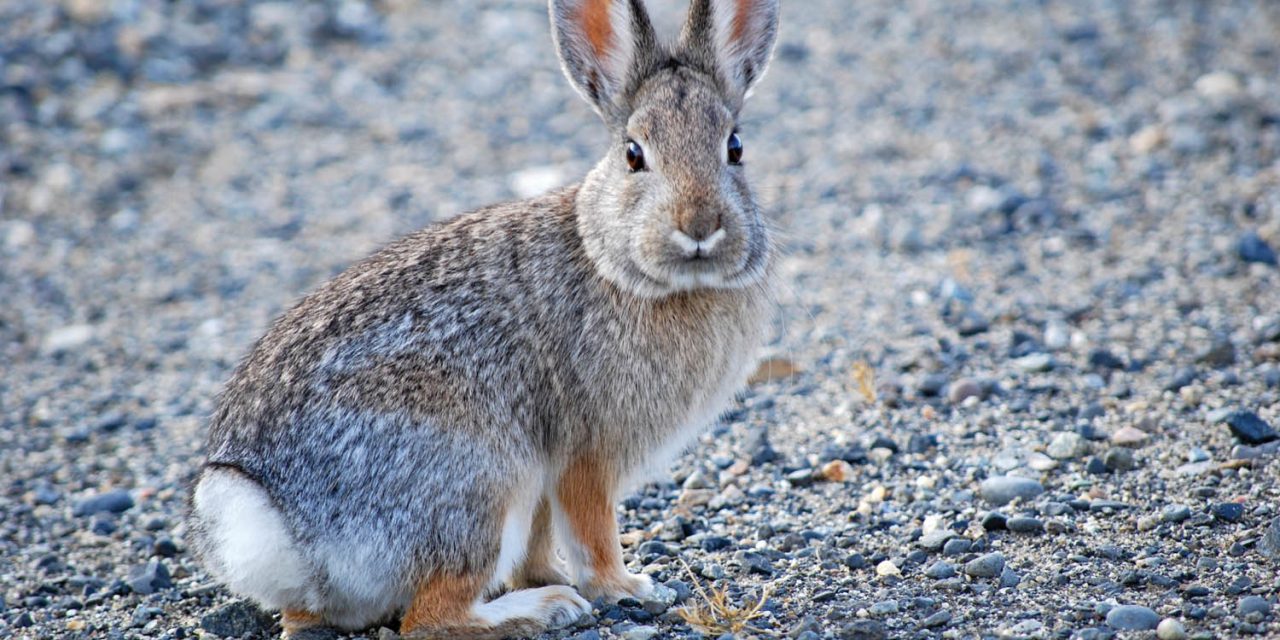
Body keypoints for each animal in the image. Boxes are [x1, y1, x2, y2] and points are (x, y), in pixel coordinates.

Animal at [187, 0, 781, 637]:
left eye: (735, 147)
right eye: (633, 155)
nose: (699, 226)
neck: (619, 263)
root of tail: (282, 527)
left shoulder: (549, 479)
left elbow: (541, 542)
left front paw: (550, 576)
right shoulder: (585, 452)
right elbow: (592, 530)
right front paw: (625, 587)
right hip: (481, 483)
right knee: (430, 617)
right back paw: (543, 609)